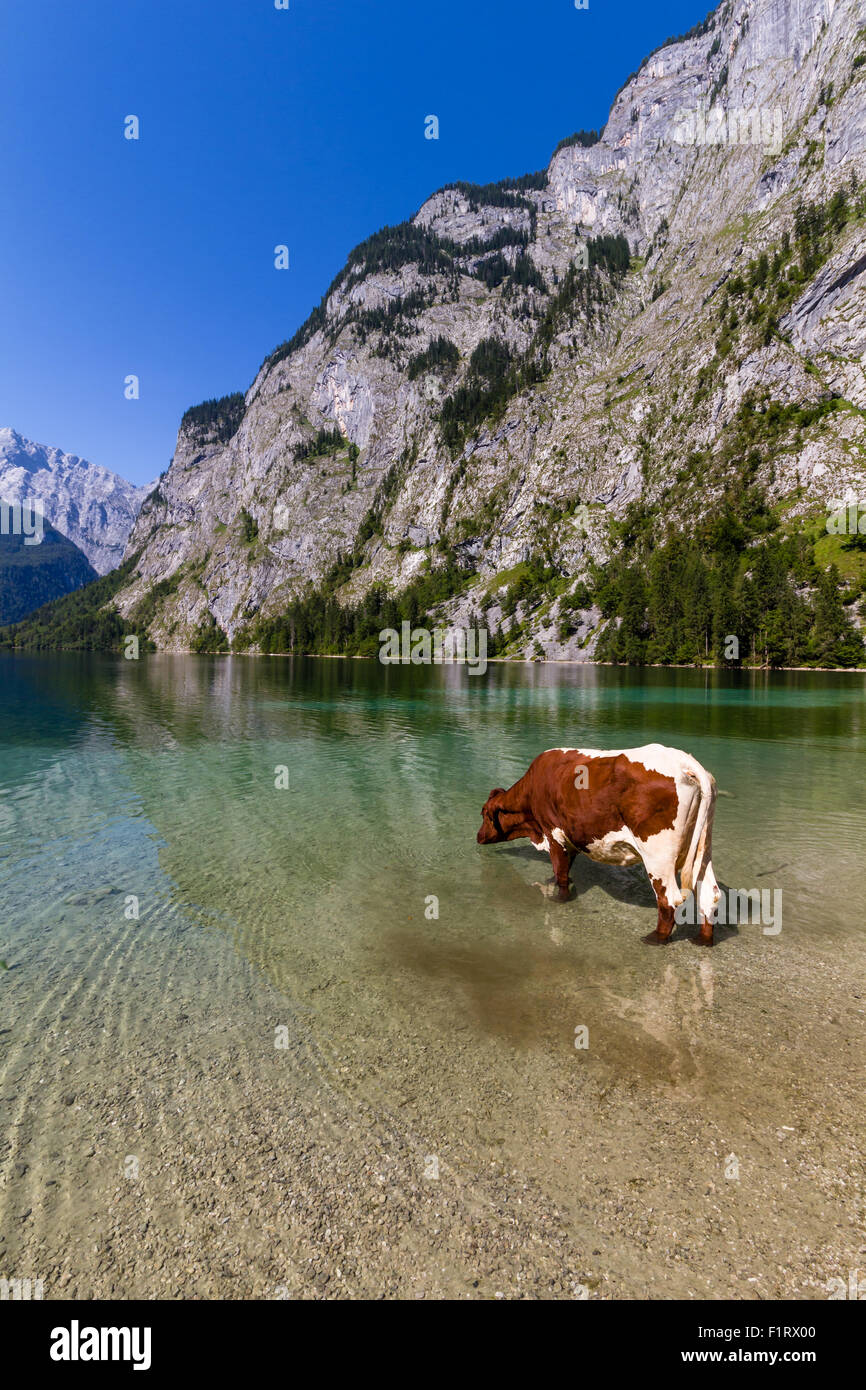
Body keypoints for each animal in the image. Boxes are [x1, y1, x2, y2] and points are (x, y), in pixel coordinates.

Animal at [477, 743, 721, 945]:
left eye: (483, 813)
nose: (478, 836)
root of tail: (684, 762)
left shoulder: (553, 833)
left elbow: (560, 871)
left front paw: (560, 898)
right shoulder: (573, 835)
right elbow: (564, 867)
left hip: (657, 855)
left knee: (668, 898)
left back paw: (656, 938)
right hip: (703, 849)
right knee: (710, 892)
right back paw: (703, 939)